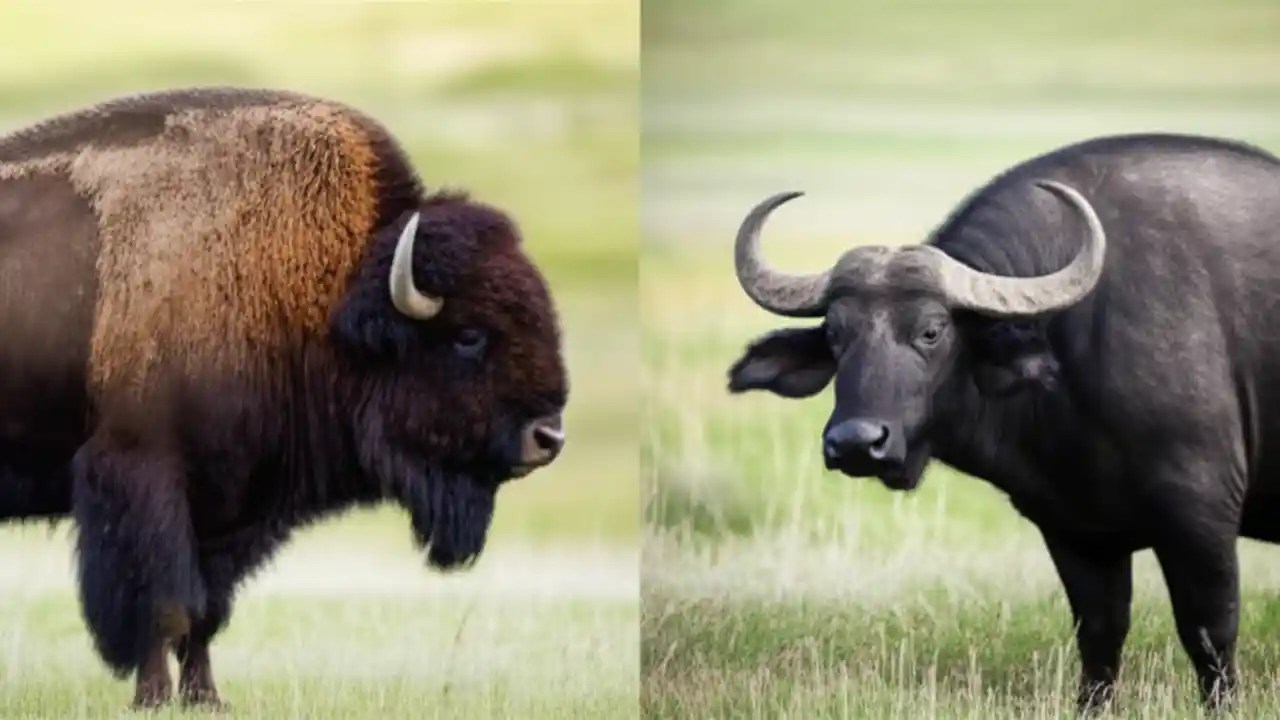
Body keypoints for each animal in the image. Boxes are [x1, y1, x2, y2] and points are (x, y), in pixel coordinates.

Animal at [0, 88, 568, 708]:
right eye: (469, 336)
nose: (548, 437)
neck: (323, 288)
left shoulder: (232, 504)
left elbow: (205, 613)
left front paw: (207, 698)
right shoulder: (140, 474)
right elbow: (162, 606)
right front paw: (152, 697)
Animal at [728, 134, 1280, 710]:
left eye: (932, 331)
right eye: (836, 334)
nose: (856, 442)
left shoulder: (1201, 516)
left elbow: (1210, 634)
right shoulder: (1076, 533)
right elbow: (1100, 635)